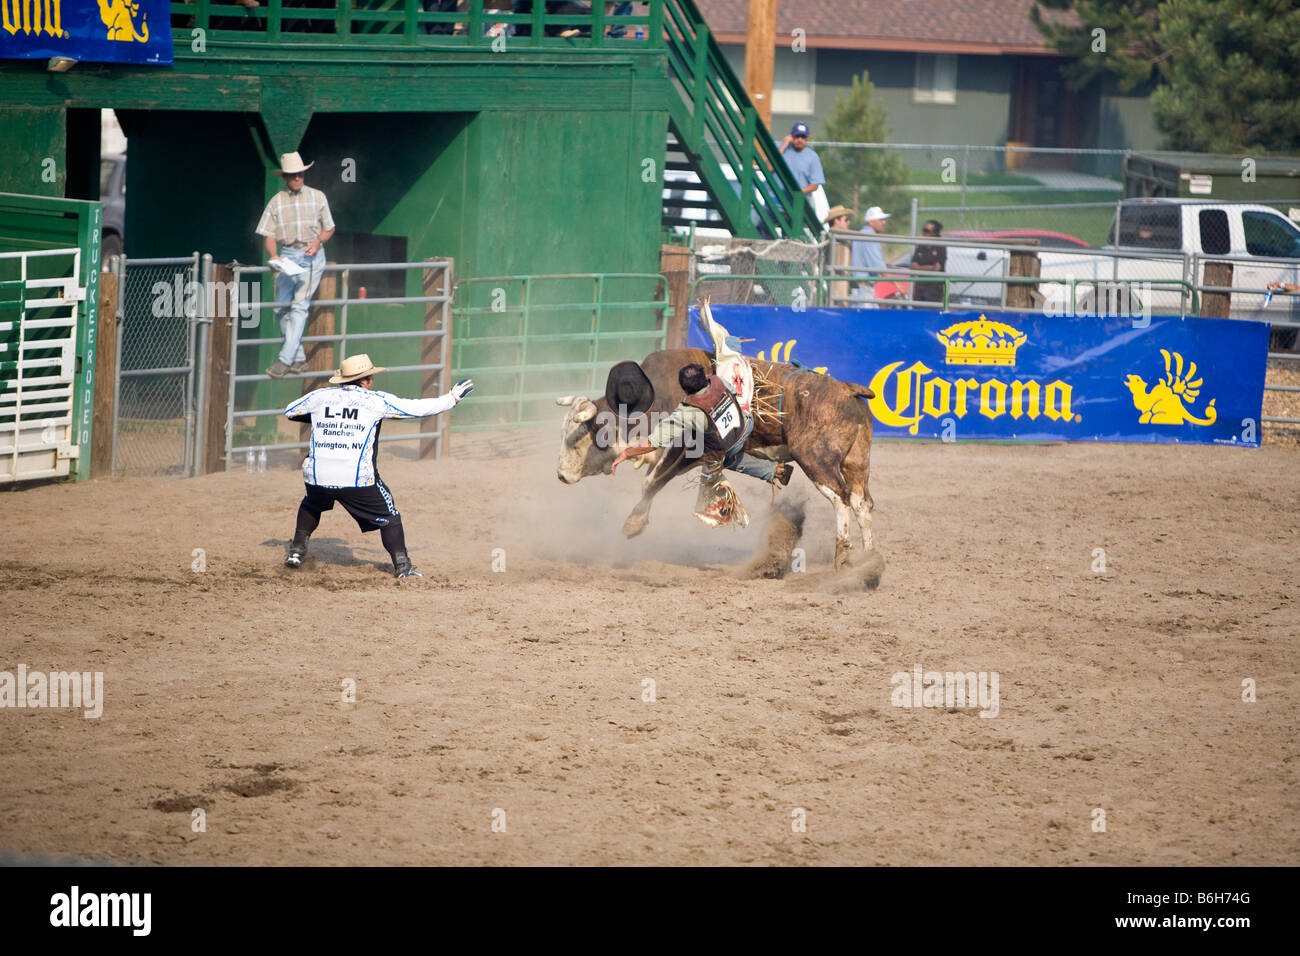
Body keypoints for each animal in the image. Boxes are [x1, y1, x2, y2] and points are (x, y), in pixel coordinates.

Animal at [556, 348, 876, 568]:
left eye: (583, 433)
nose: (561, 475)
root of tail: (846, 388)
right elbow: (655, 478)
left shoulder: (686, 446)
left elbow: (652, 482)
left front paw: (634, 524)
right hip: (856, 461)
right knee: (862, 502)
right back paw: (869, 560)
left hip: (816, 459)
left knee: (841, 499)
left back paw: (842, 558)